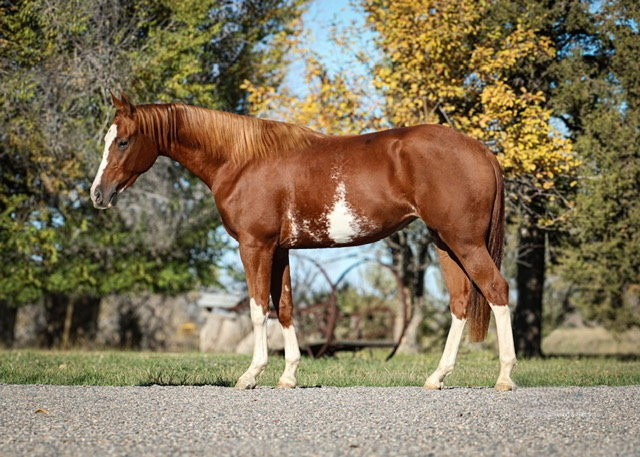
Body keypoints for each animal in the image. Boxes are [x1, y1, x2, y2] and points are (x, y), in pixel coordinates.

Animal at [91, 92, 516, 391]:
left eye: (123, 141)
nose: (98, 194)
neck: (241, 160)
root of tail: (481, 150)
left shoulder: (255, 247)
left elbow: (258, 309)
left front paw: (251, 375)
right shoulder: (280, 250)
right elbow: (285, 309)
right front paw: (289, 376)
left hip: (465, 242)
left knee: (496, 288)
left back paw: (505, 377)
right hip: (445, 243)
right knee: (461, 301)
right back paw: (436, 377)